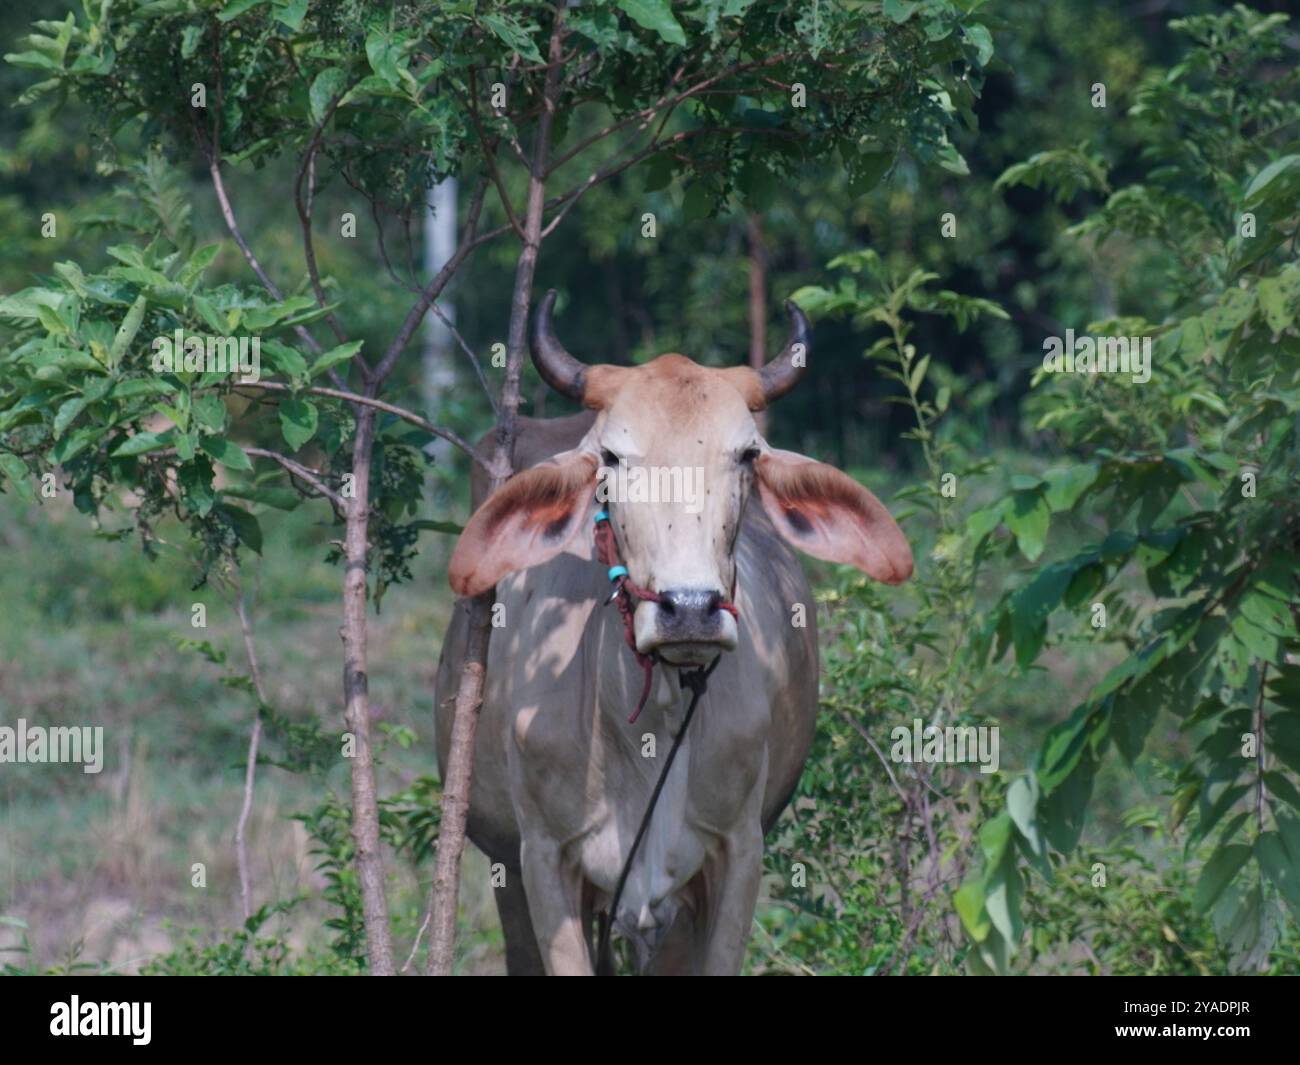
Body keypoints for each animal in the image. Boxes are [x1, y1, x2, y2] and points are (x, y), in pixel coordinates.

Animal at [434, 291, 912, 975]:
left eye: (747, 455)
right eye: (610, 456)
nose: (689, 609)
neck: (644, 729)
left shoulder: (735, 857)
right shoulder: (541, 860)